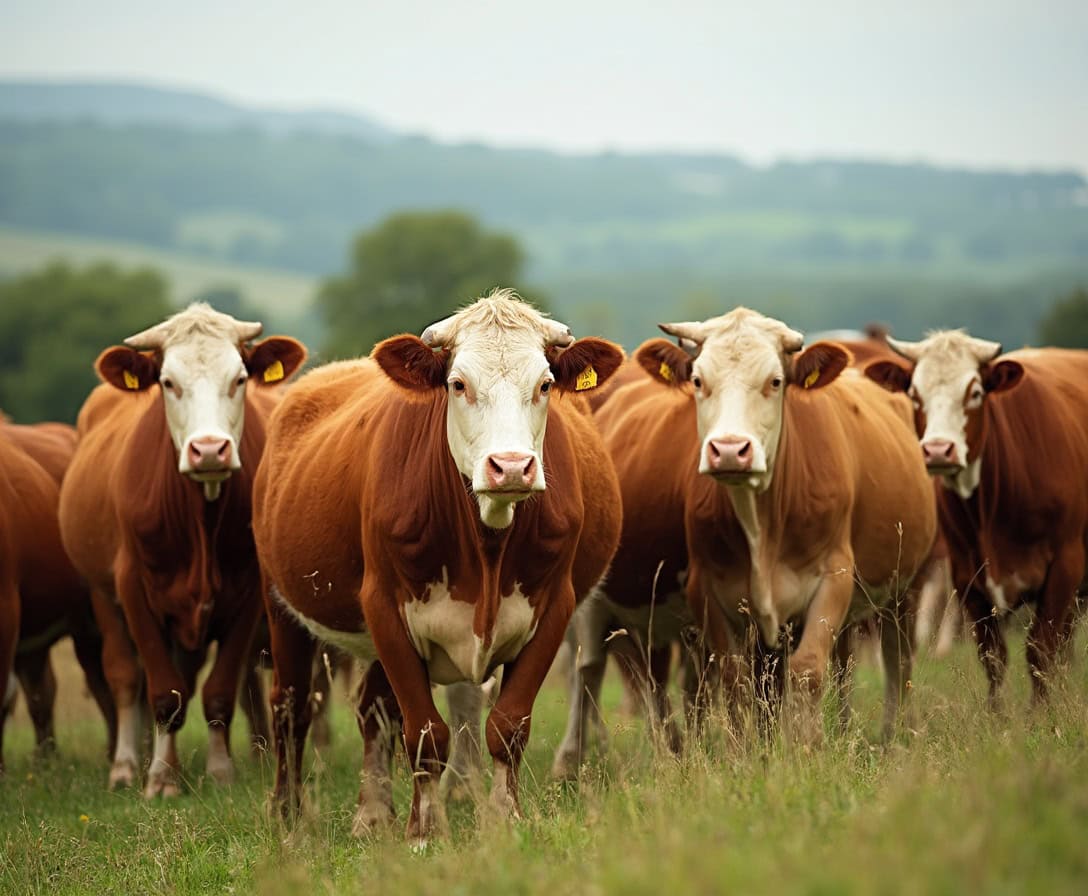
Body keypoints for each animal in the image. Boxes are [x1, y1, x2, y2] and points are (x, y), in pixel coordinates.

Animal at [58, 303, 306, 796]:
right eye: (168, 383)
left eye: (240, 379)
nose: (208, 450)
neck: (200, 522)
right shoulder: (133, 589)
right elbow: (163, 693)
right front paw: (161, 778)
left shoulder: (247, 593)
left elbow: (218, 690)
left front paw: (220, 770)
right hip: (102, 596)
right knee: (124, 676)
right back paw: (127, 764)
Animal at [253, 290, 624, 844]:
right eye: (458, 383)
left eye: (544, 384)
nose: (510, 467)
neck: (486, 549)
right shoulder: (384, 606)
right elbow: (425, 732)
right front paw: (425, 829)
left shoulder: (553, 607)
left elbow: (507, 724)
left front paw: (504, 817)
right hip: (282, 602)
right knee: (290, 703)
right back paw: (286, 810)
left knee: (373, 710)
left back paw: (372, 812)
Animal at [635, 308, 937, 740]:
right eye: (697, 380)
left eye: (775, 381)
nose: (730, 450)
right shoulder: (707, 588)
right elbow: (737, 679)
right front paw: (750, 751)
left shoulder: (834, 577)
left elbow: (807, 672)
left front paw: (806, 746)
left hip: (904, 590)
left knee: (898, 663)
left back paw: (894, 736)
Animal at [865, 332, 1088, 706]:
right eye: (914, 394)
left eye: (975, 393)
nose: (938, 450)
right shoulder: (968, 577)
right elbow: (993, 657)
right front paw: (999, 716)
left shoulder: (1064, 567)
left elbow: (1040, 651)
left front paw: (1042, 714)